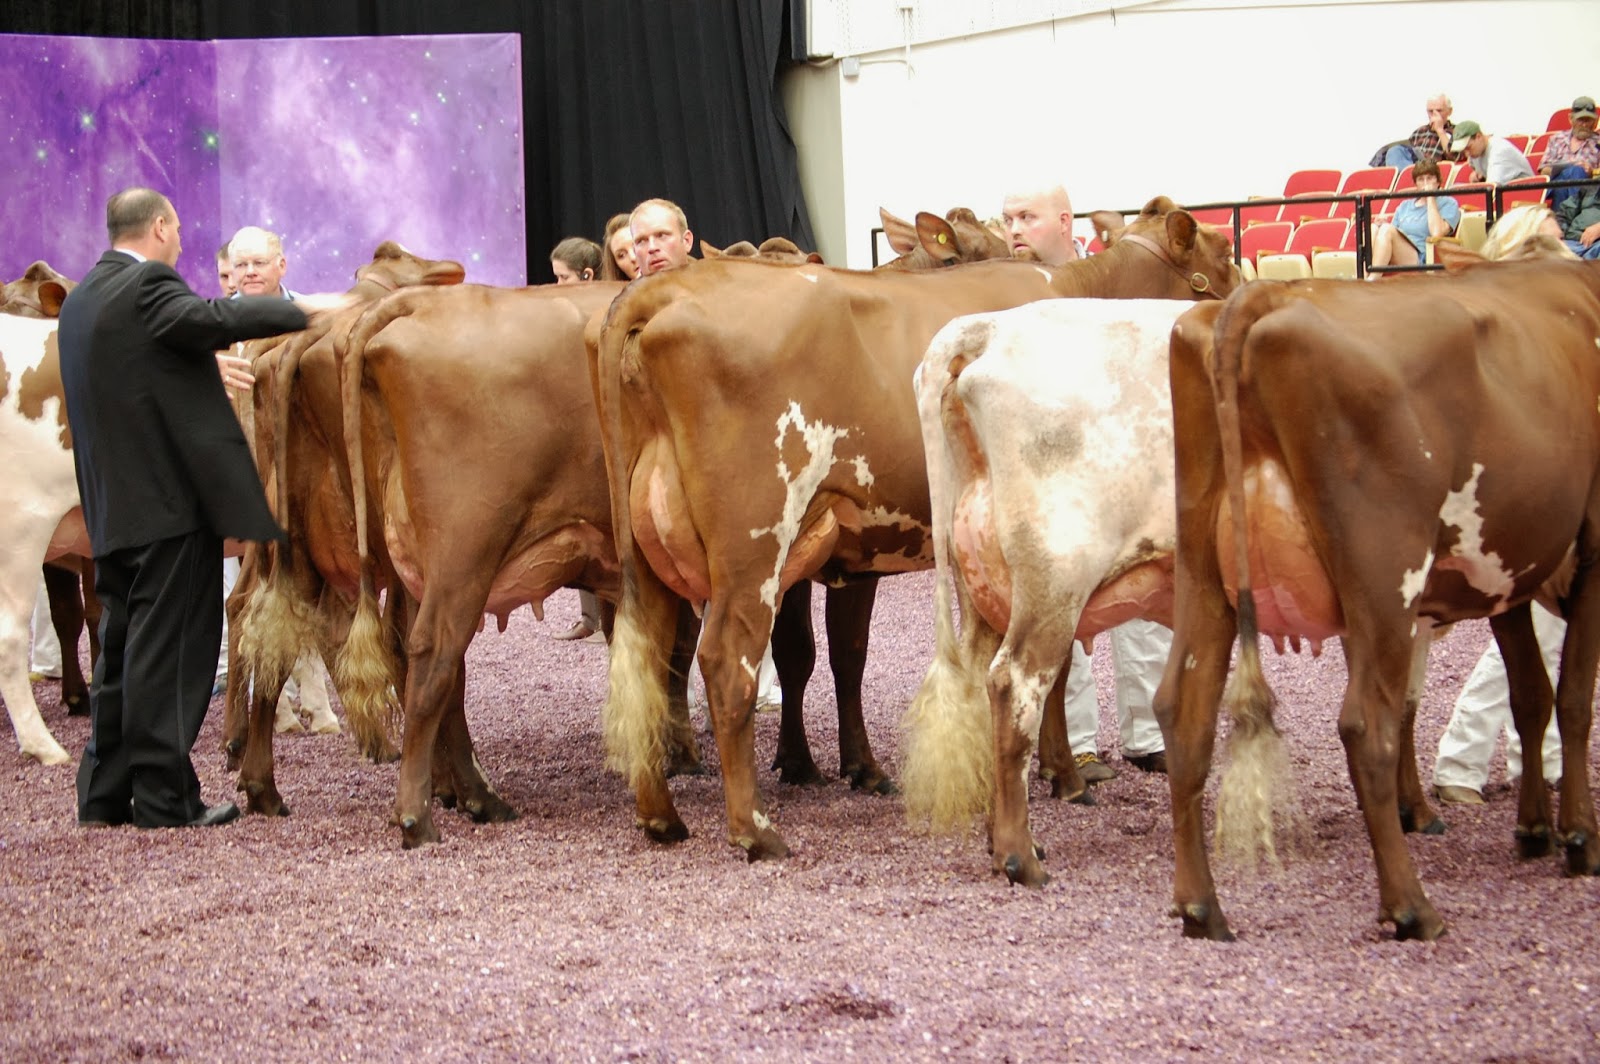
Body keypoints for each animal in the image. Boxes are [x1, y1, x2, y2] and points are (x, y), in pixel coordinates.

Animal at [593, 198, 1238, 861]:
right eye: (1223, 258)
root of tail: (666, 288)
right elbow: (1049, 669)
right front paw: (1065, 778)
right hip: (755, 543)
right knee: (724, 661)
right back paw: (755, 829)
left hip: (647, 550)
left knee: (644, 661)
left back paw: (660, 815)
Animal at [1158, 258, 1600, 942]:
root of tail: (1268, 293)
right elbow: (1574, 699)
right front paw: (1579, 837)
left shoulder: (1505, 573)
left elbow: (1531, 696)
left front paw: (1535, 830)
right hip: (1385, 575)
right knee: (1367, 724)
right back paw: (1412, 907)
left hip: (1204, 569)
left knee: (1185, 709)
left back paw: (1201, 908)